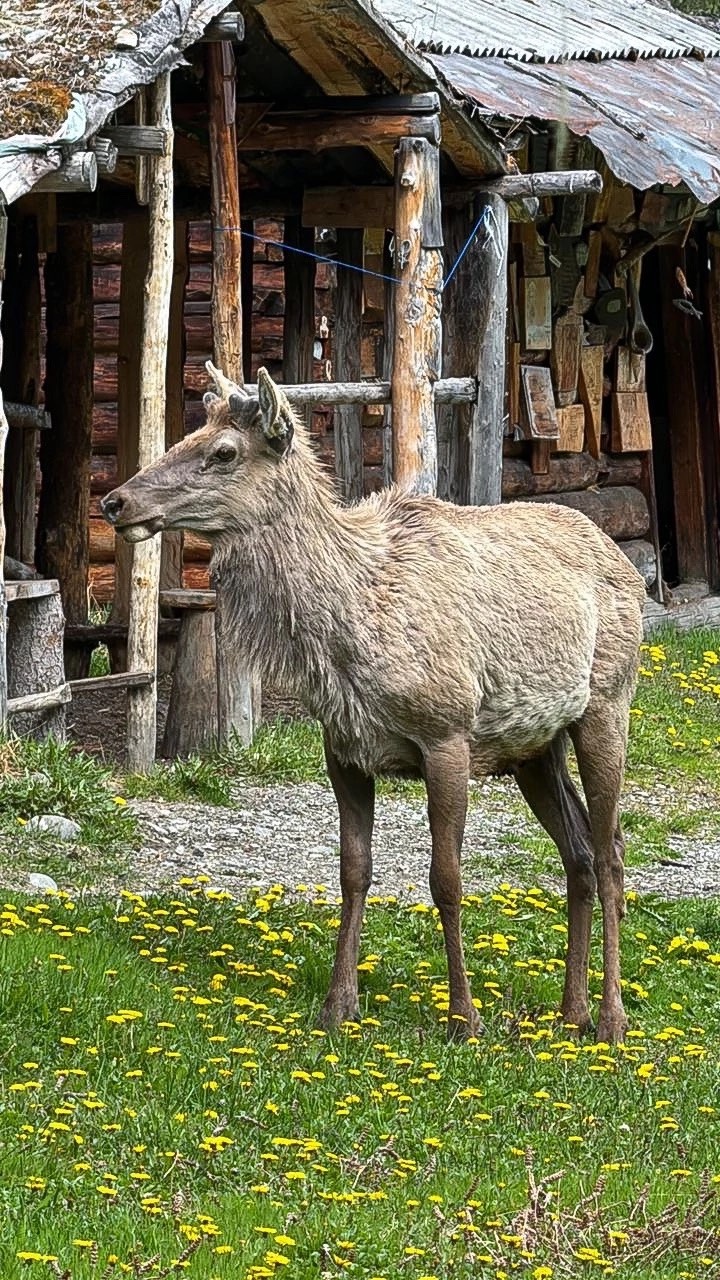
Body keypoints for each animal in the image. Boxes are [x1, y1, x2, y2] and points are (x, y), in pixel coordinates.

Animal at [102, 366, 645, 1044]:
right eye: (184, 435)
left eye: (223, 452)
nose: (115, 501)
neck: (344, 635)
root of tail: (628, 564)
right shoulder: (344, 750)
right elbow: (352, 871)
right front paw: (338, 1006)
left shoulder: (447, 735)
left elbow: (446, 879)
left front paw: (463, 1018)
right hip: (534, 745)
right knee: (577, 852)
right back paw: (571, 1012)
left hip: (607, 703)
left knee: (612, 850)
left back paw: (610, 1018)